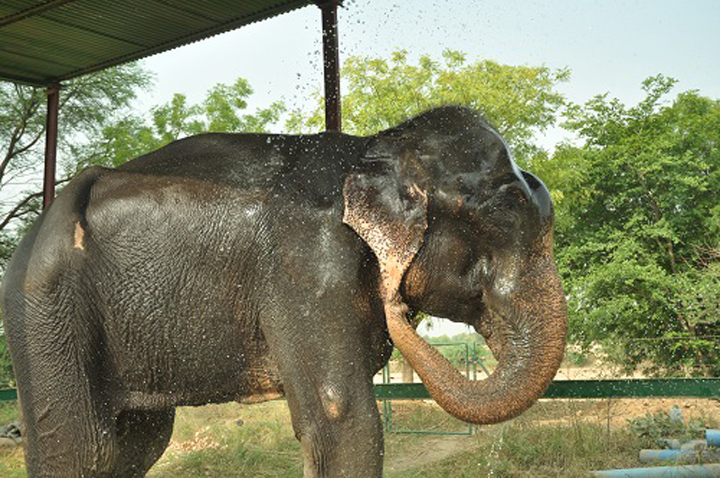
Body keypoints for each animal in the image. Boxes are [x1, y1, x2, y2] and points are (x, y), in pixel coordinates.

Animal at [1, 106, 567, 477]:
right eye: (506, 212)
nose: (399, 303)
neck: (372, 149)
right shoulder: (307, 266)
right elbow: (342, 419)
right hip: (44, 308)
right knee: (82, 451)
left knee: (139, 442)